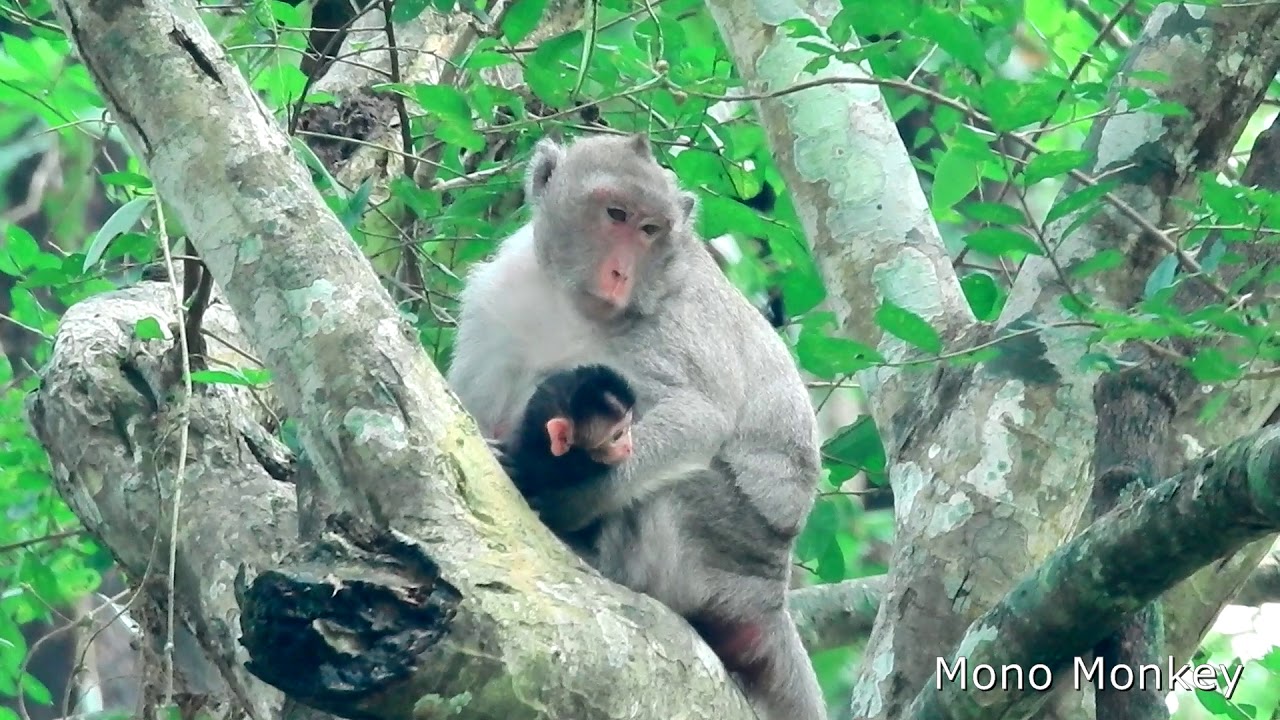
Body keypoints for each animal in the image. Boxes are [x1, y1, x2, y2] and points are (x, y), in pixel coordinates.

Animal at [446, 132, 826, 720]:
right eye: (616, 214)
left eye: (651, 230)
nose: (620, 274)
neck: (573, 306)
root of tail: (772, 597)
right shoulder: (499, 293)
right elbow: (472, 405)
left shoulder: (671, 320)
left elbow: (697, 417)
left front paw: (558, 497)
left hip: (722, 556)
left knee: (684, 485)